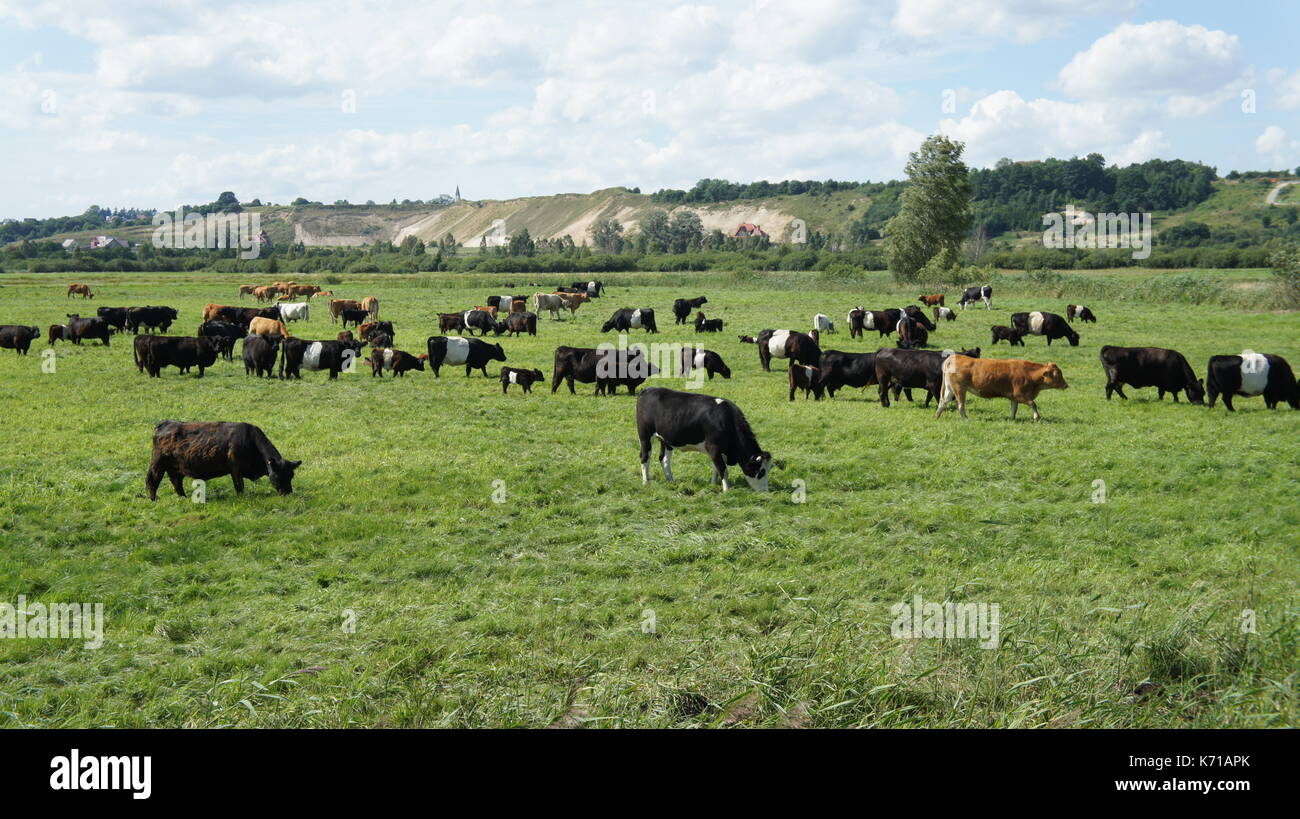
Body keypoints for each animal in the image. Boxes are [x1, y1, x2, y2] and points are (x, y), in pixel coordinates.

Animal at [147, 421, 301, 501]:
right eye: (278, 475)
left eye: (291, 476)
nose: (288, 493)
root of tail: (165, 423)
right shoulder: (236, 470)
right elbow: (239, 487)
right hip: (157, 464)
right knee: (151, 481)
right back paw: (153, 499)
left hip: (176, 468)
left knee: (176, 482)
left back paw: (183, 497)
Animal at [636, 388, 772, 491]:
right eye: (761, 472)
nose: (765, 492)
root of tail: (648, 389)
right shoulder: (713, 448)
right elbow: (723, 470)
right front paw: (726, 490)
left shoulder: (718, 452)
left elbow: (716, 468)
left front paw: (713, 484)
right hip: (645, 436)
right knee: (645, 457)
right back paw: (646, 482)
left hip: (666, 440)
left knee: (664, 459)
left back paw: (671, 481)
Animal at [935, 356, 1068, 421]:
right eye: (1057, 374)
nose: (1066, 385)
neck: (1029, 374)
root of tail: (954, 357)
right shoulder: (1020, 394)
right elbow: (1033, 403)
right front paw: (1037, 417)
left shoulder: (1014, 397)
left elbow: (1014, 409)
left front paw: (1012, 419)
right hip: (959, 389)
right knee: (960, 405)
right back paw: (966, 419)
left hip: (950, 389)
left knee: (943, 402)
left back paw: (937, 416)